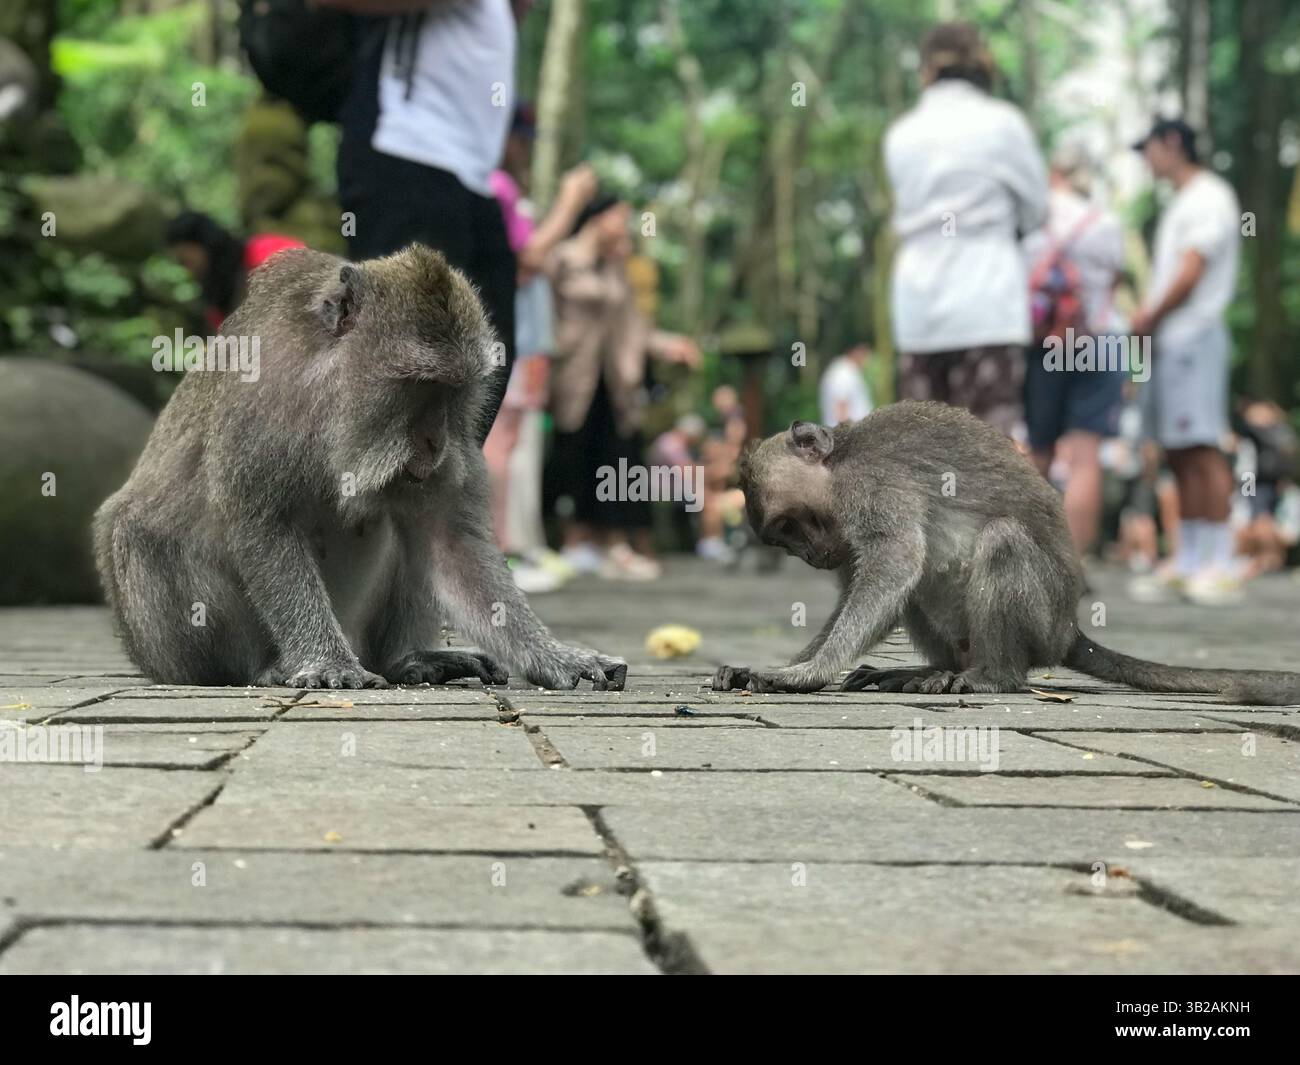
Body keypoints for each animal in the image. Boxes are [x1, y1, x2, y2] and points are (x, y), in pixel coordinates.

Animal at [94, 244, 627, 692]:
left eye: (455, 390)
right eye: (420, 385)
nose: (436, 441)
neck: (329, 396)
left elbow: (450, 546)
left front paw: (556, 656)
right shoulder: (259, 405)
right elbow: (261, 524)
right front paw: (325, 660)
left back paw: (406, 661)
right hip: (167, 646)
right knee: (139, 533)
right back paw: (261, 668)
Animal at [712, 401, 1300, 705]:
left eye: (793, 524)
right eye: (783, 537)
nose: (812, 556)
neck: (841, 462)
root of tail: (1067, 631)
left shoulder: (871, 488)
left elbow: (894, 563)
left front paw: (806, 673)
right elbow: (875, 581)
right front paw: (778, 665)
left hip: (1039, 621)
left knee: (1002, 541)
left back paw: (992, 676)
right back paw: (932, 669)